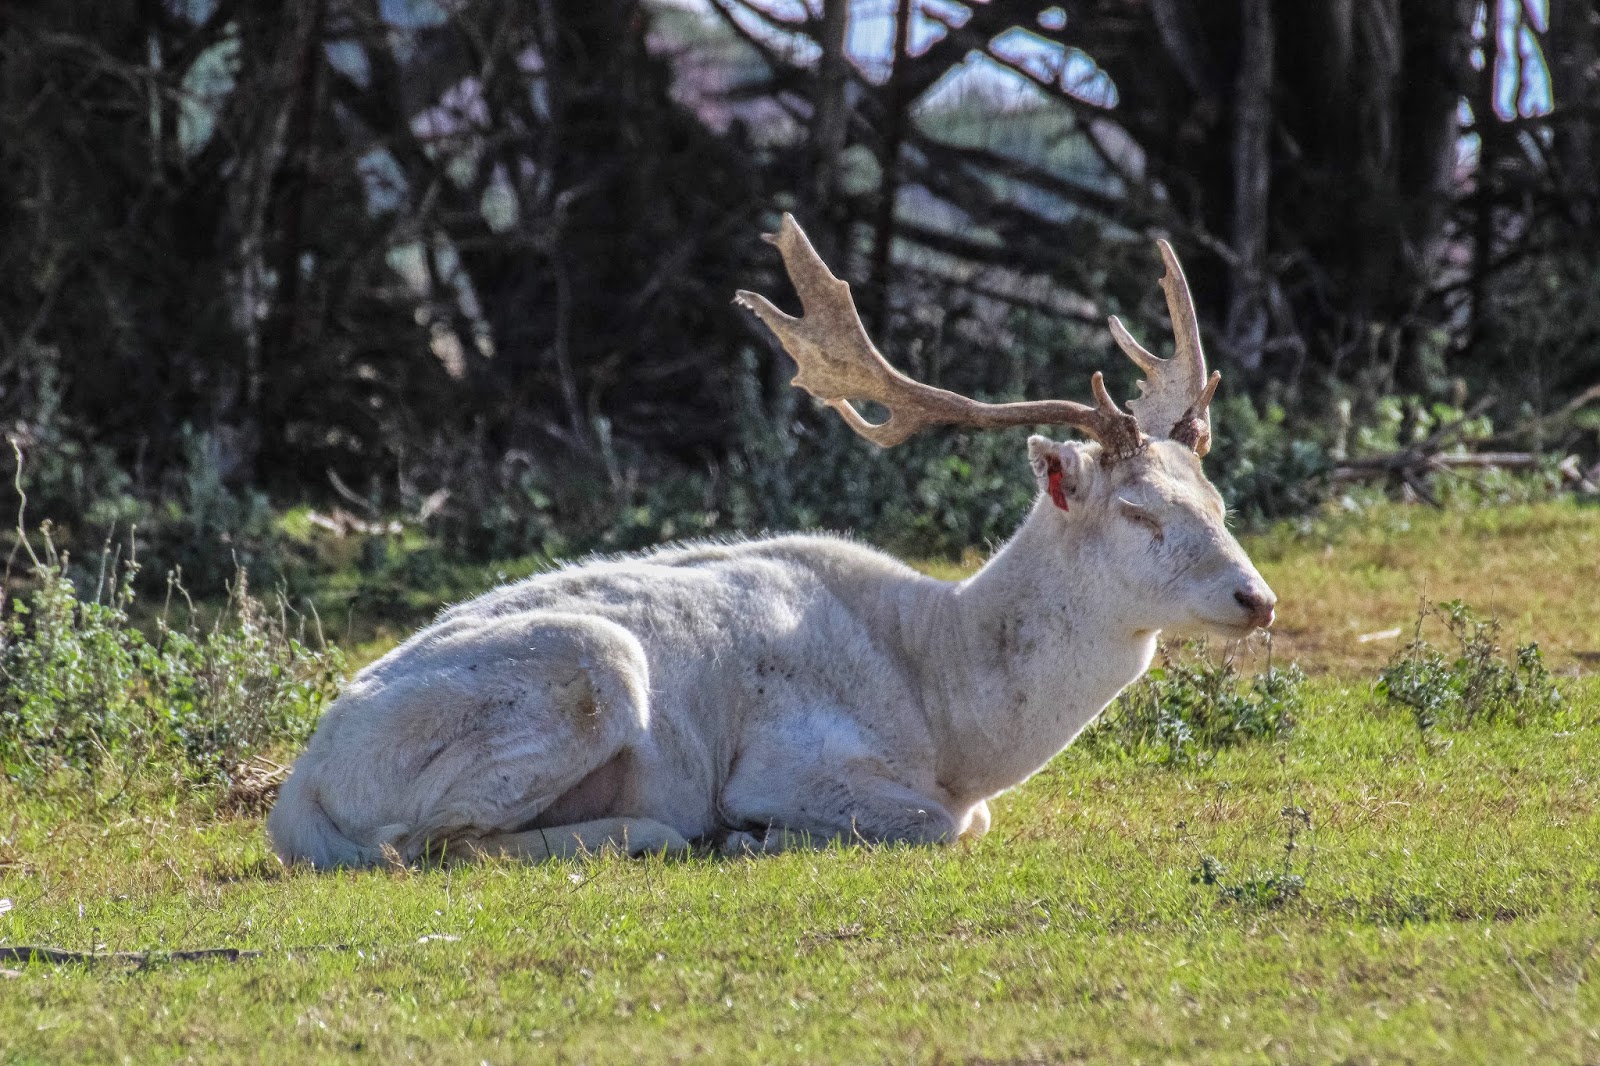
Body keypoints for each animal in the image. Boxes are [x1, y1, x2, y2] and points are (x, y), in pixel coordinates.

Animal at [267, 215, 1276, 868]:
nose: (1256, 600)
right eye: (1138, 512)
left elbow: (973, 821)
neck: (951, 720)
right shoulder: (795, 761)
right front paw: (761, 833)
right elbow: (943, 826)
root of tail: (298, 798)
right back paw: (680, 837)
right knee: (423, 842)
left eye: (1218, 499)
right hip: (585, 670)